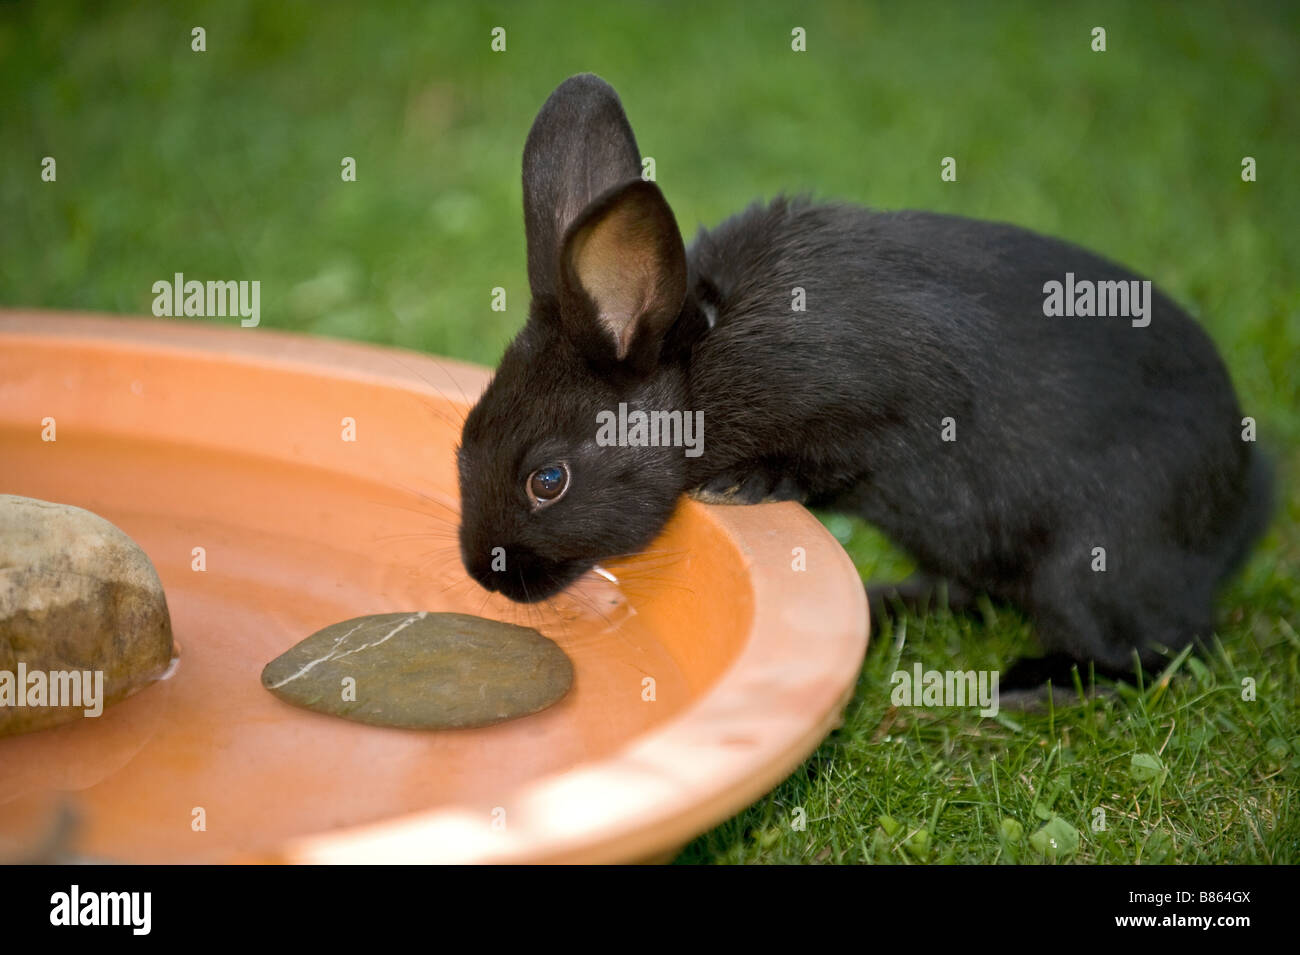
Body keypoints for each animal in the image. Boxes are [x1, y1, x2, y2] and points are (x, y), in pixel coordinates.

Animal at [456, 73, 1273, 688]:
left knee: (1157, 648)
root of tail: (1241, 506)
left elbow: (838, 451)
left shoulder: (891, 398)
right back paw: (884, 608)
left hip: (1089, 566)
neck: (697, 368)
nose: (485, 574)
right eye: (464, 440)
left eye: (548, 480)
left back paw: (1026, 684)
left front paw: (743, 485)